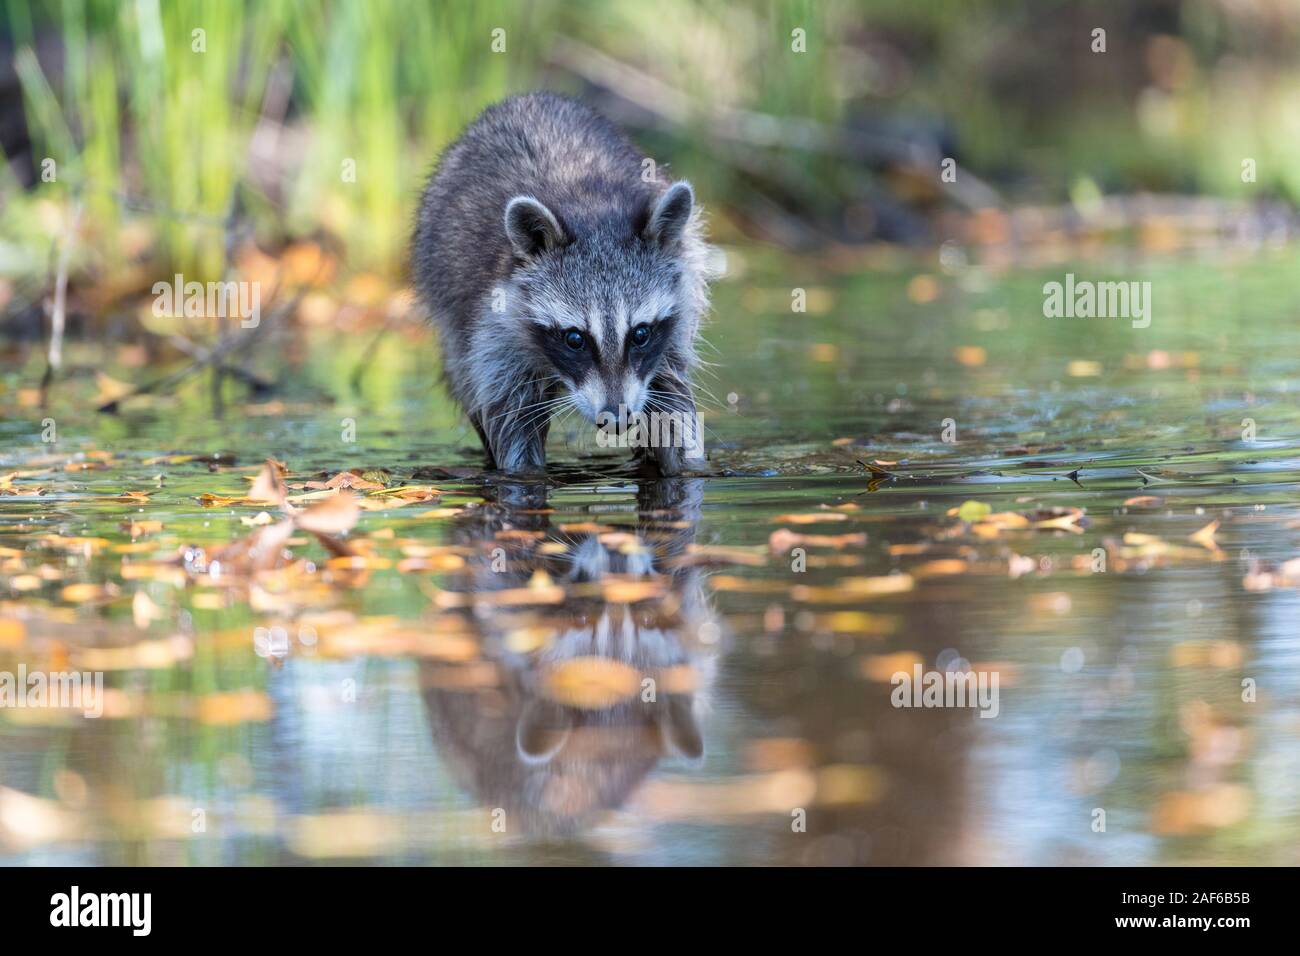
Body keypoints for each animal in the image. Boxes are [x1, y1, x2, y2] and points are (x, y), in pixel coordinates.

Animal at [412, 92, 713, 475]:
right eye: (574, 339)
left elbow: (672, 401)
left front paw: (687, 467)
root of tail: (526, 98)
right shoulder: (495, 328)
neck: (591, 213)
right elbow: (510, 417)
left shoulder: (675, 323)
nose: (616, 419)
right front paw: (521, 471)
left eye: (641, 333)